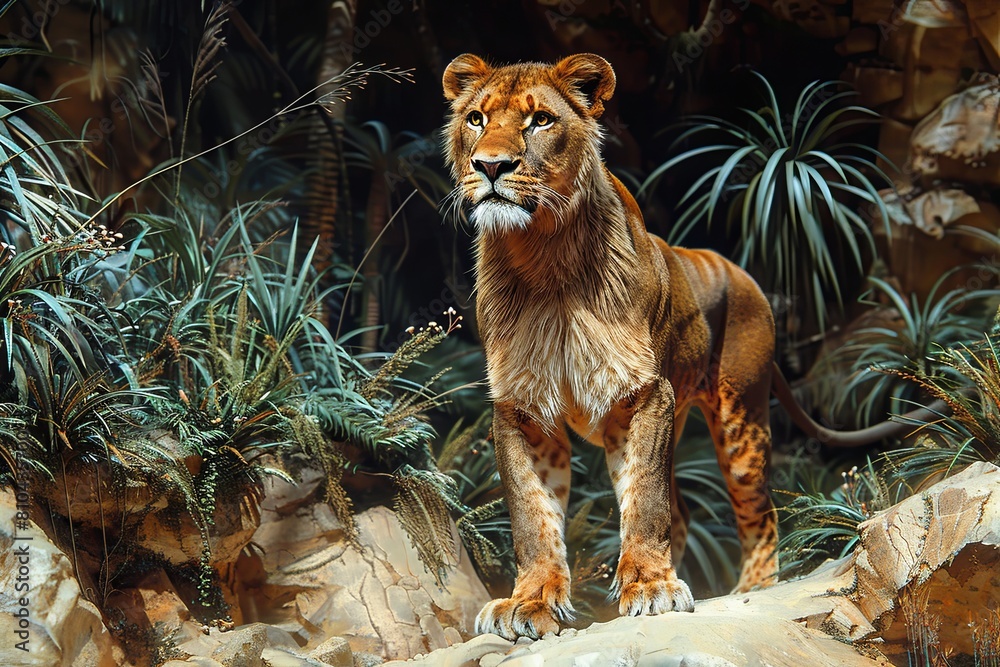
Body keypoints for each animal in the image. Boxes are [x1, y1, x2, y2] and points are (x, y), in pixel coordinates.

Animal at [440, 52, 924, 641]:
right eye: (477, 119)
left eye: (540, 121)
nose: (491, 166)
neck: (542, 257)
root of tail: (744, 274)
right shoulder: (519, 407)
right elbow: (533, 514)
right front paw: (530, 600)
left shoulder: (646, 394)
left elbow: (645, 500)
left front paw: (651, 588)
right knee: (687, 512)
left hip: (741, 428)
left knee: (759, 514)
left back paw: (748, 591)